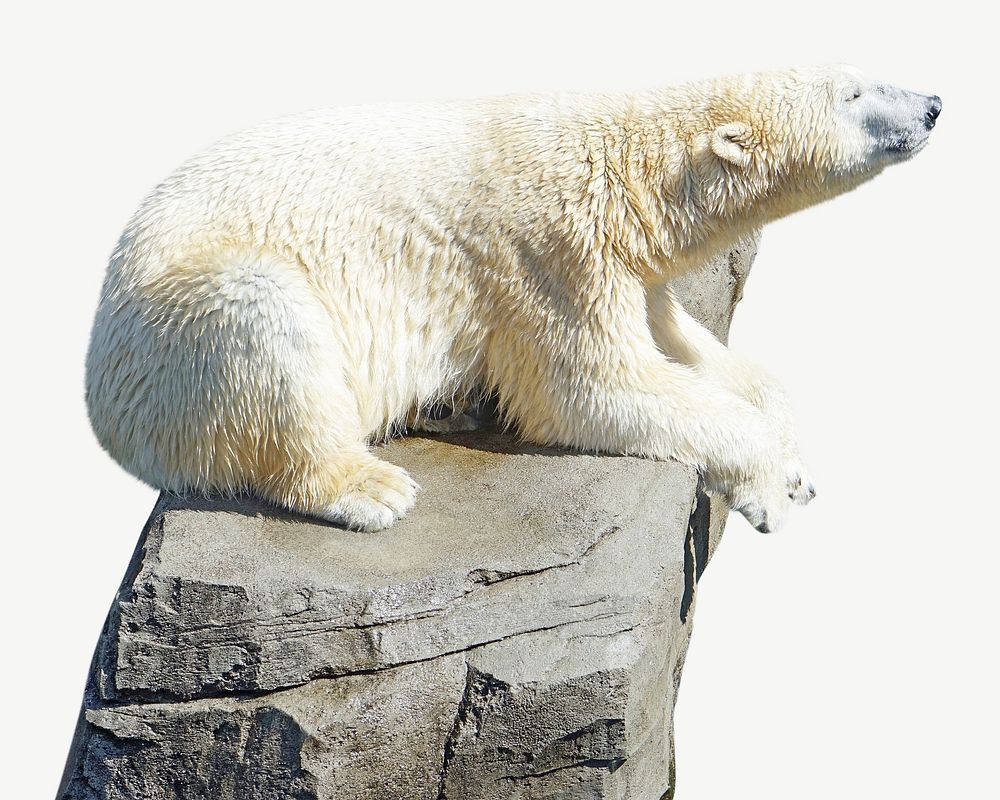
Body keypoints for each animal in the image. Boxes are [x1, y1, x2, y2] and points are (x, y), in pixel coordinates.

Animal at [85, 65, 941, 533]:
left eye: (863, 72)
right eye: (852, 92)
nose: (934, 103)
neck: (627, 169)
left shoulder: (626, 269)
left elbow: (694, 352)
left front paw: (795, 467)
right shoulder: (550, 255)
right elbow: (590, 389)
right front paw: (767, 491)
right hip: (180, 325)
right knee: (265, 325)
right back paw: (371, 487)